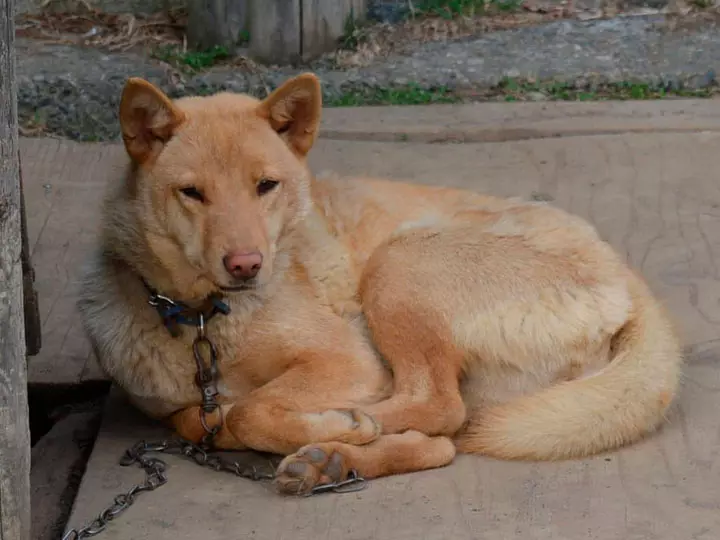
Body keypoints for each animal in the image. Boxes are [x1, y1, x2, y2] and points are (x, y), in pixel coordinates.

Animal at [76, 74, 684, 496]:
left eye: (266, 186)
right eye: (192, 193)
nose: (246, 265)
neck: (208, 320)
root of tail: (629, 279)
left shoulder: (348, 359)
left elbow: (246, 412)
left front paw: (323, 422)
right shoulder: (170, 404)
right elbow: (193, 418)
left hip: (401, 262)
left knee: (440, 407)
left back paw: (347, 431)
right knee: (442, 441)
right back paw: (331, 461)